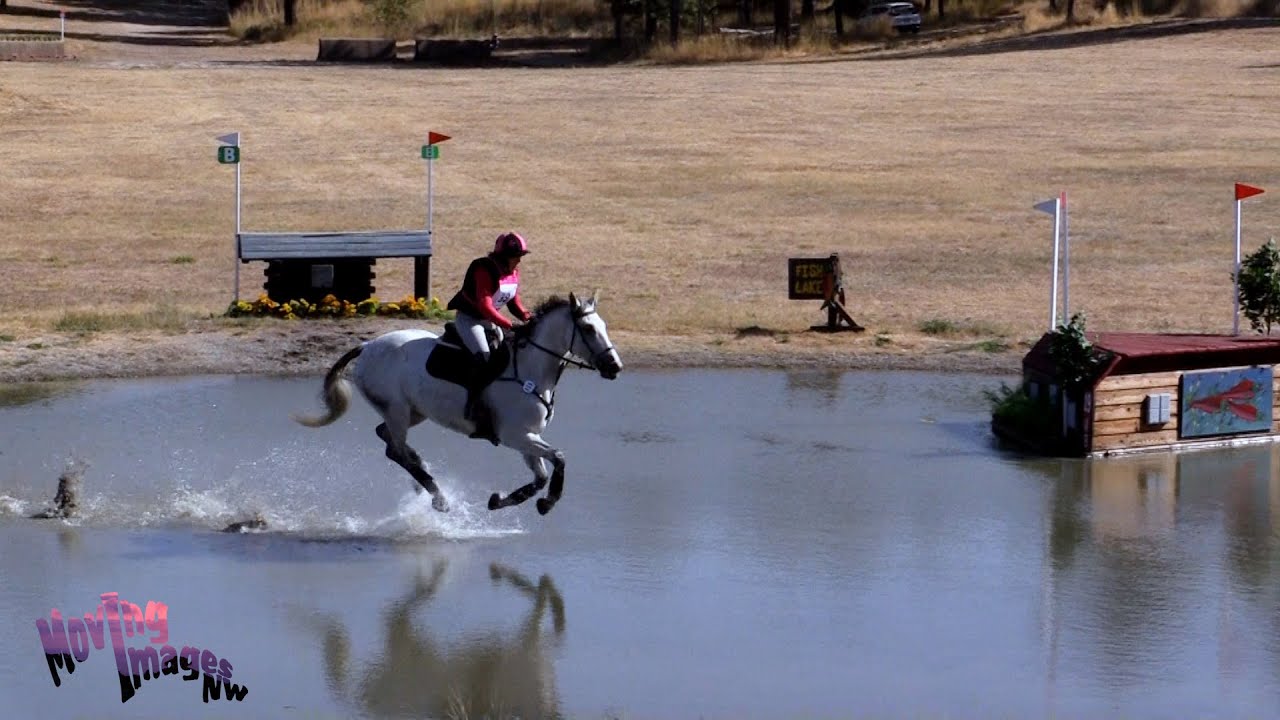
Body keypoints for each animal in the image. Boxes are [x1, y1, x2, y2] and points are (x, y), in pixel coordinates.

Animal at [292, 290, 623, 516]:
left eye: (604, 326)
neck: (531, 370)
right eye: (589, 329)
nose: (614, 366)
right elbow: (559, 458)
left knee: (388, 439)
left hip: (414, 412)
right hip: (398, 409)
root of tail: (366, 345)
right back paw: (438, 496)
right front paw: (548, 502)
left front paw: (501, 501)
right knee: (396, 450)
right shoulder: (516, 436)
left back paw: (423, 476)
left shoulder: (527, 437)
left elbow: (540, 476)